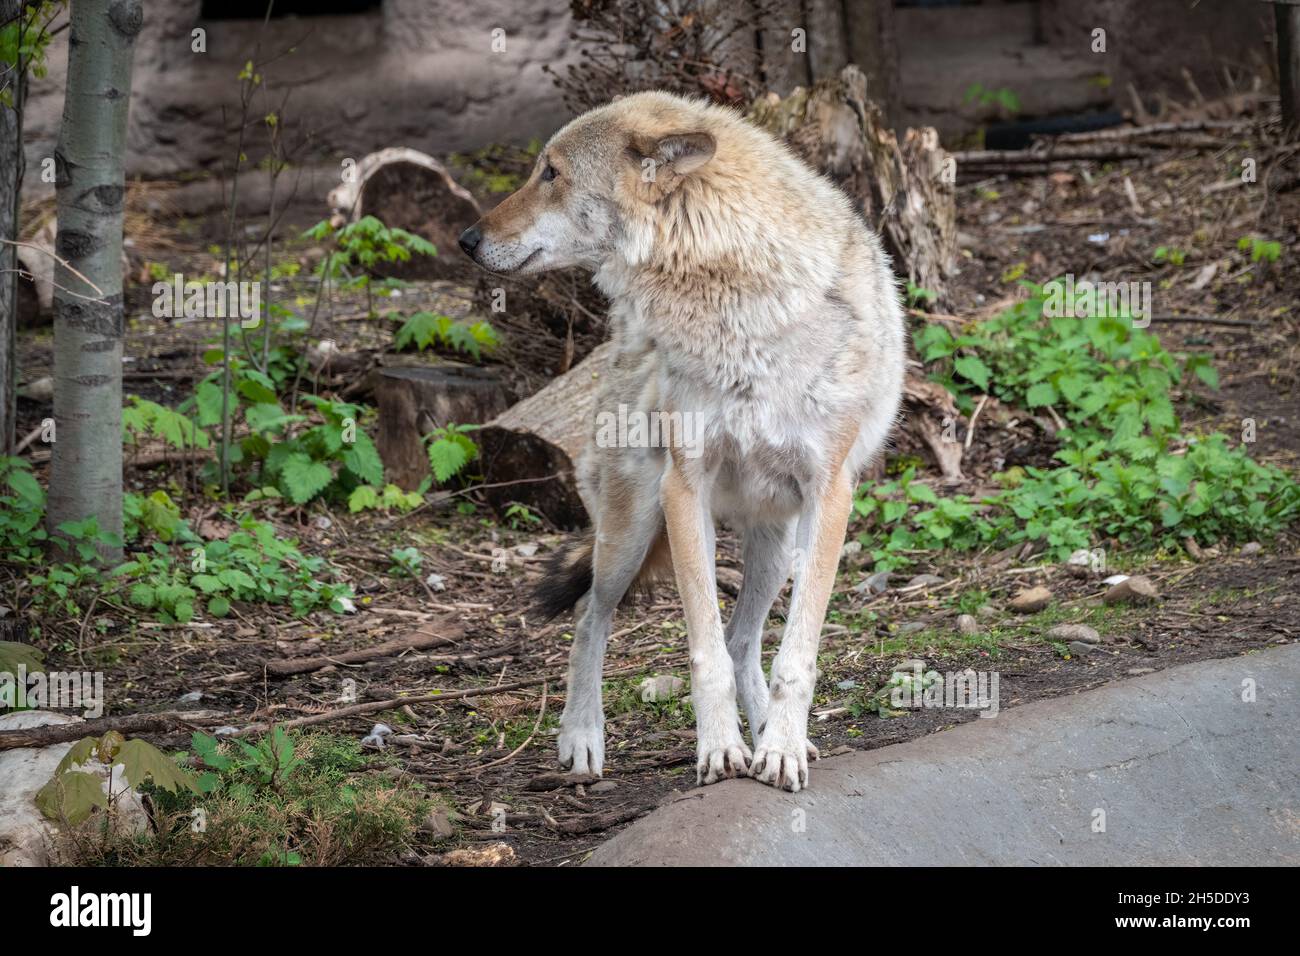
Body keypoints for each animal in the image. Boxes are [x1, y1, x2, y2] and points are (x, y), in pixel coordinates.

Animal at [459, 91, 906, 792]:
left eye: (551, 173)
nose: (467, 240)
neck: (734, 309)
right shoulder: (683, 489)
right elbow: (704, 652)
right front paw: (721, 750)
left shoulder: (830, 499)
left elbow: (794, 655)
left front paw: (778, 751)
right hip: (632, 532)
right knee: (592, 619)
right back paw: (581, 739)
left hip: (778, 548)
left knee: (747, 641)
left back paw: (774, 735)